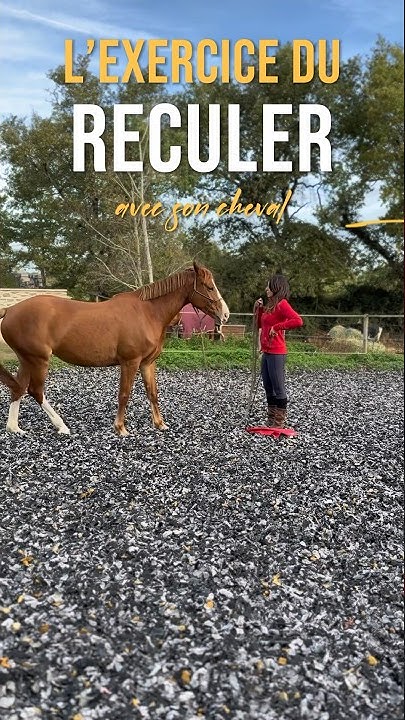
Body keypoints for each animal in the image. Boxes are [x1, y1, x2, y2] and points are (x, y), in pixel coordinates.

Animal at [0, 261, 229, 436]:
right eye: (209, 287)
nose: (225, 314)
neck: (147, 312)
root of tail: (10, 310)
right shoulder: (130, 362)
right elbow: (124, 394)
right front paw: (121, 429)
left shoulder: (147, 363)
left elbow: (152, 393)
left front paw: (160, 424)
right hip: (39, 360)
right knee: (35, 391)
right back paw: (62, 426)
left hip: (26, 359)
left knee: (18, 388)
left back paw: (15, 428)